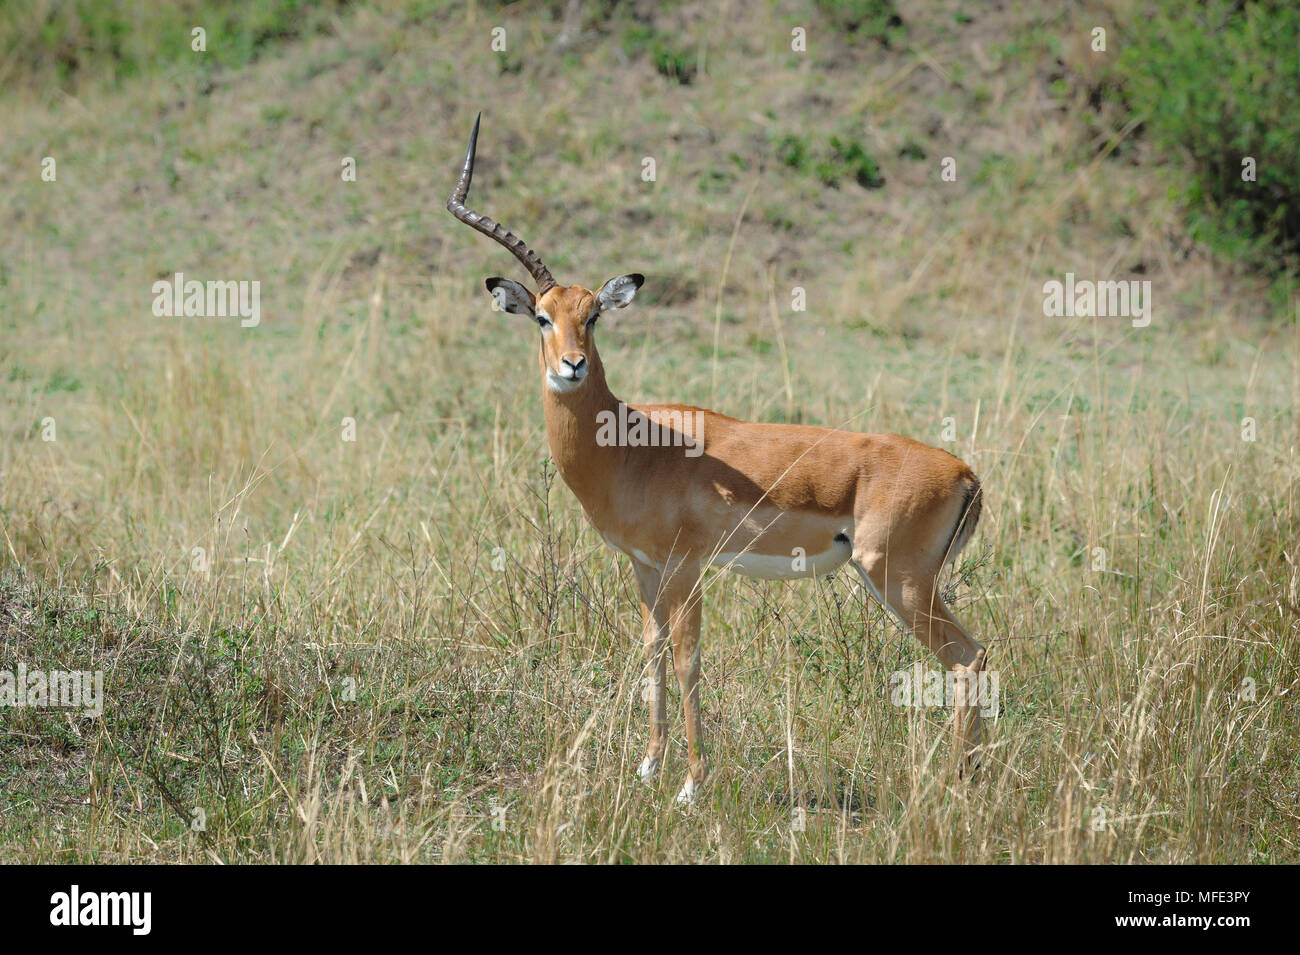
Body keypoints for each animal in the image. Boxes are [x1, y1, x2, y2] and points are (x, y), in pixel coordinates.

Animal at [447, 115, 989, 803]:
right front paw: (650, 767)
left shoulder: (686, 567)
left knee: (967, 658)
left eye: (593, 315)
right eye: (542, 317)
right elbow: (651, 651)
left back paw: (954, 785)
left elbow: (687, 659)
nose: (572, 366)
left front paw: (691, 786)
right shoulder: (645, 567)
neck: (630, 447)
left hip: (900, 580)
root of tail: (965, 473)